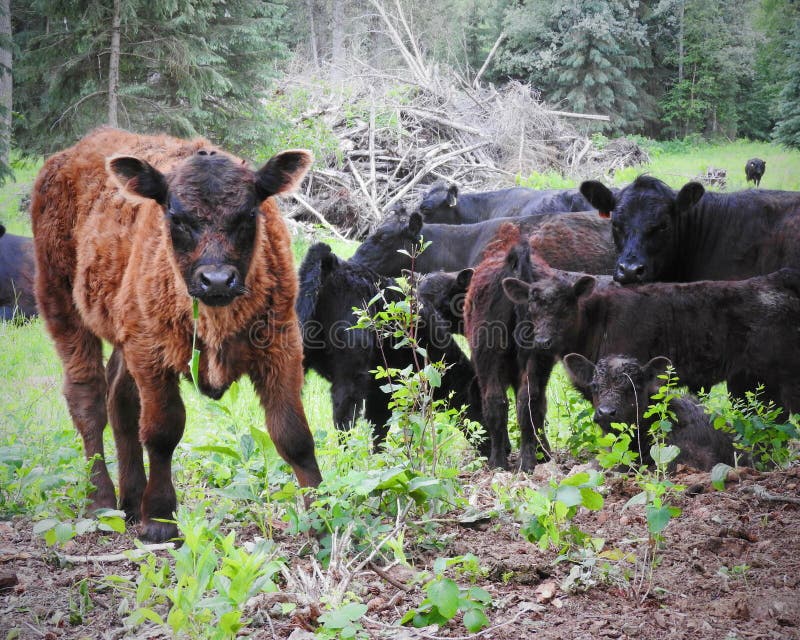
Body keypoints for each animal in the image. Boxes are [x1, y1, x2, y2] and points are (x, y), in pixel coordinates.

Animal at [31, 128, 322, 542]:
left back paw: (130, 500)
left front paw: (323, 516)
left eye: (249, 214)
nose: (216, 279)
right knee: (88, 399)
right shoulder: (152, 356)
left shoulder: (281, 346)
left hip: (124, 332)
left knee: (120, 400)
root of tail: (72, 152)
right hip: (61, 303)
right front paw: (159, 520)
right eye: (176, 217)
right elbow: (163, 431)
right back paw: (100, 501)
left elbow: (293, 435)